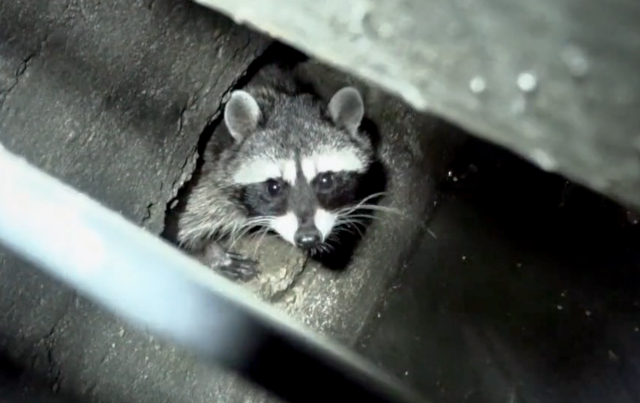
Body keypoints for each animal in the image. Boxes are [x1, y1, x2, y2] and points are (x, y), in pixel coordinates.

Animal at [175, 64, 375, 282]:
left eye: (326, 180)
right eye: (273, 187)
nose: (308, 238)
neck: (277, 96)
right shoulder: (209, 175)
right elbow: (186, 222)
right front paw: (211, 252)